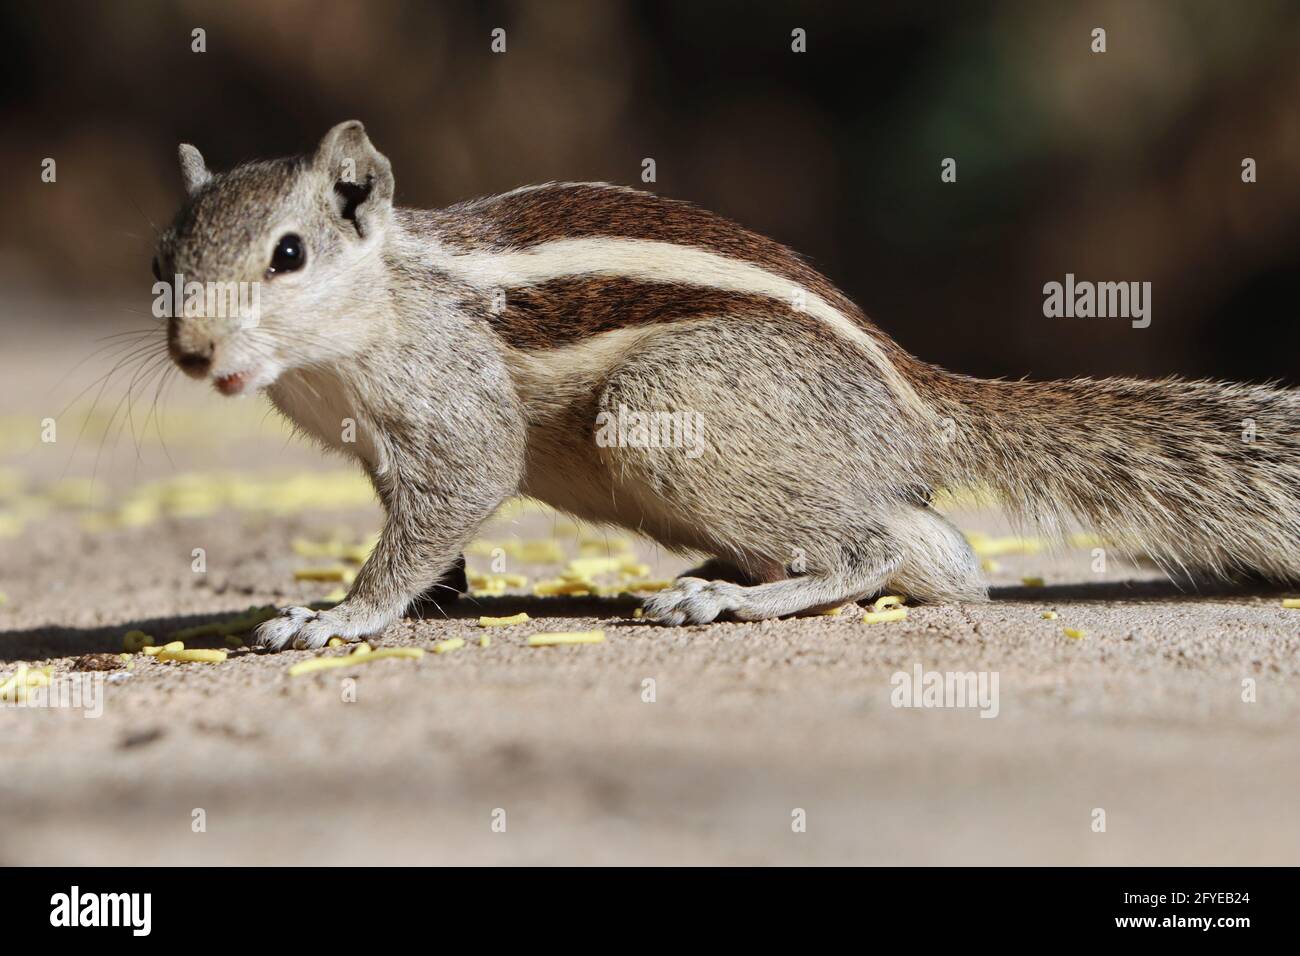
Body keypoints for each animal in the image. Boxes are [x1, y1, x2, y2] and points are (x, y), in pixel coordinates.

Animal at [153, 121, 1300, 649]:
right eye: (164, 253)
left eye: (290, 254)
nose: (193, 353)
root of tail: (918, 398)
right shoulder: (379, 445)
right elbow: (422, 527)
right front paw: (430, 595)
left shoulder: (453, 408)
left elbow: (457, 489)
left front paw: (341, 617)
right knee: (943, 556)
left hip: (665, 410)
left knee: (870, 547)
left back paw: (730, 594)